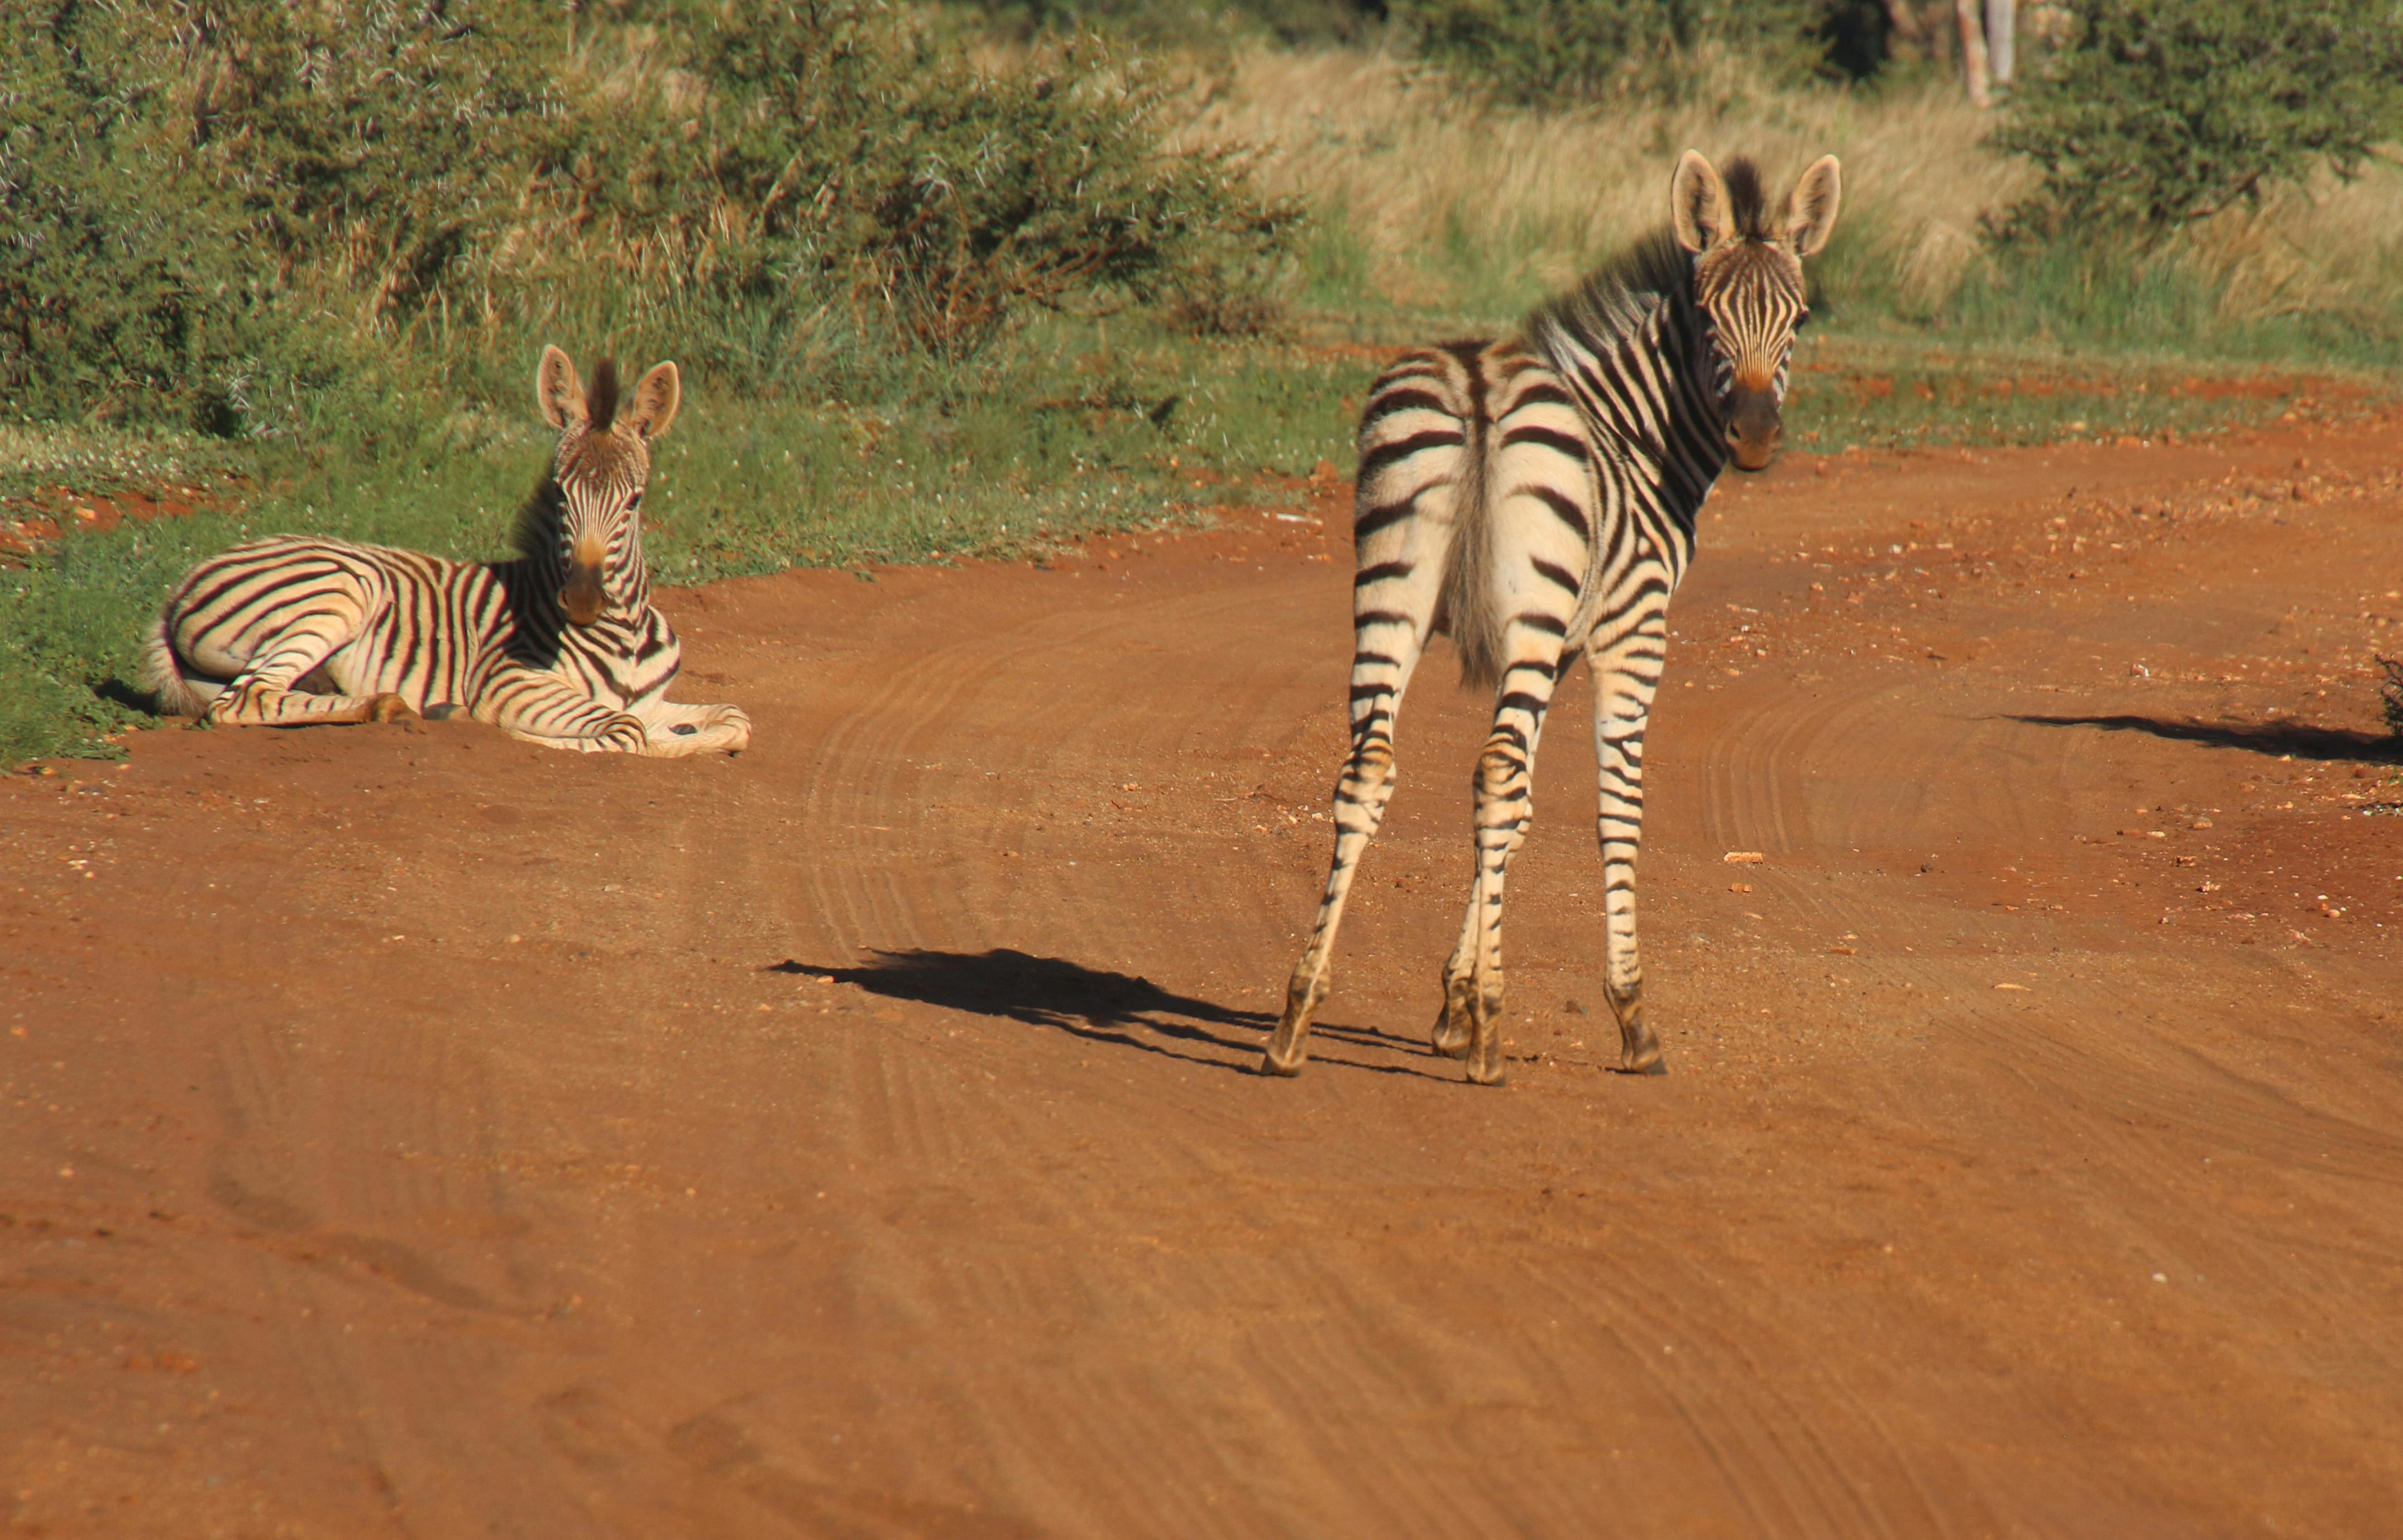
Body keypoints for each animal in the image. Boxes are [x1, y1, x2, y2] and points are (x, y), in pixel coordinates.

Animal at [141, 345, 751, 757]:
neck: (623, 631)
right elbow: (626, 733)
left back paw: (389, 704)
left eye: (635, 501)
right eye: (560, 492)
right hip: (341, 588)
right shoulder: (512, 680)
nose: (581, 602)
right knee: (248, 699)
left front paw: (693, 734)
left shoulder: (651, 700)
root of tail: (177, 591)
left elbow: (735, 719)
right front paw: (501, 726)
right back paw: (403, 706)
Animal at [1262, 150, 1841, 1086]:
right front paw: (1627, 1015)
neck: (1637, 436)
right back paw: (1494, 1043)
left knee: (1375, 769)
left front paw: (1454, 1002)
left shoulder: (1557, 644)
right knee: (1495, 771)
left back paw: (1296, 1015)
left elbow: (1522, 810)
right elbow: (1615, 811)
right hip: (1524, 613)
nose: (1755, 435)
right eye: (1709, 318)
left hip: (1394, 589)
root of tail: (1476, 380)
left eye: (1797, 317)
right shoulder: (1628, 632)